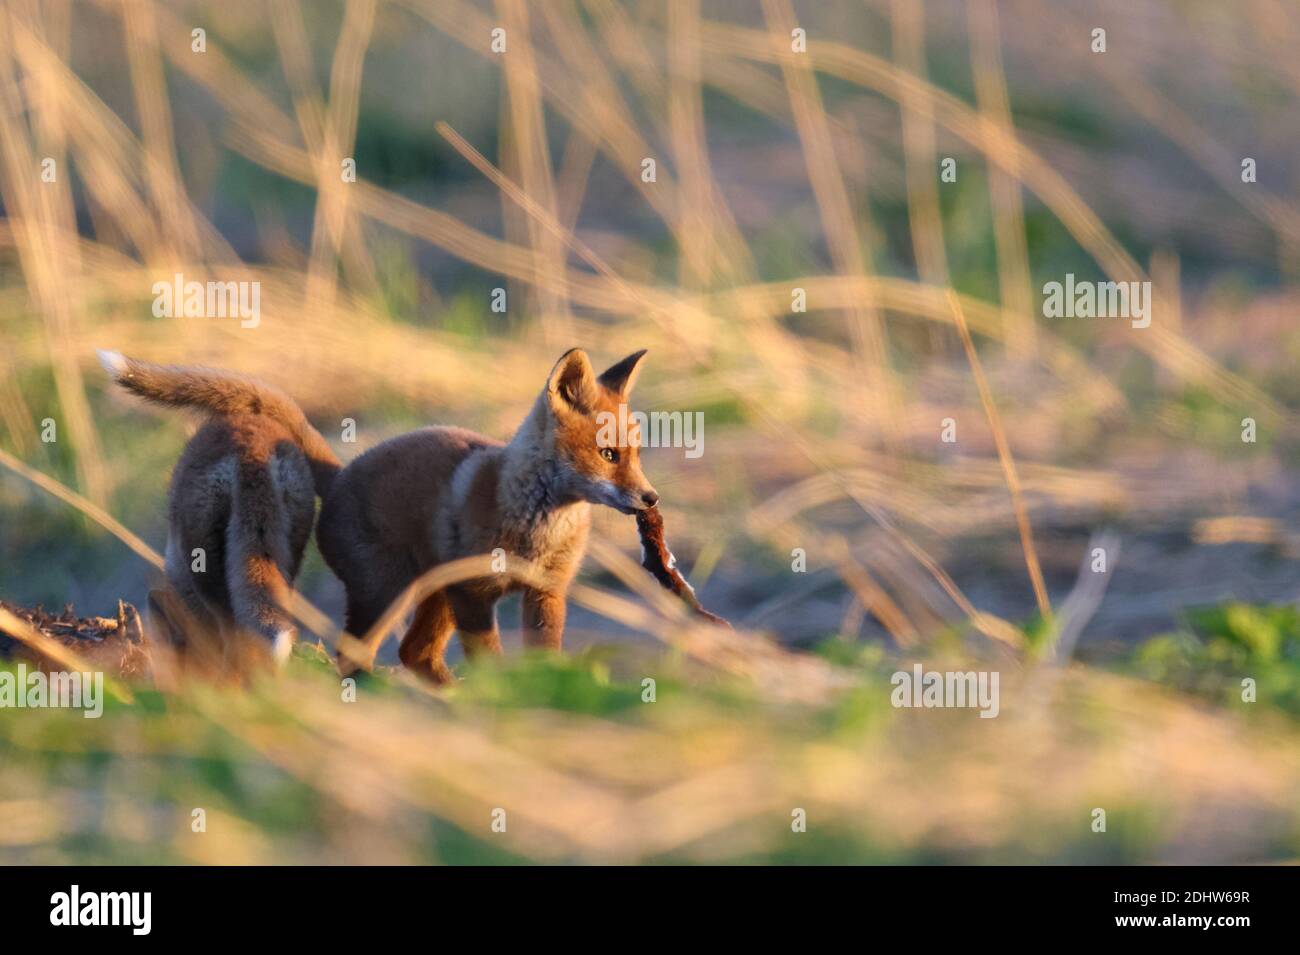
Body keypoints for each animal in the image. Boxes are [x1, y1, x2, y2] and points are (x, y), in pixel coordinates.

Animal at [316, 348, 658, 684]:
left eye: (637, 456)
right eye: (608, 455)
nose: (652, 498)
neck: (538, 531)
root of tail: (337, 478)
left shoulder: (546, 591)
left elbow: (545, 658)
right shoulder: (473, 591)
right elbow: (490, 664)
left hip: (437, 594)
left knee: (415, 652)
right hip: (388, 595)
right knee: (353, 653)